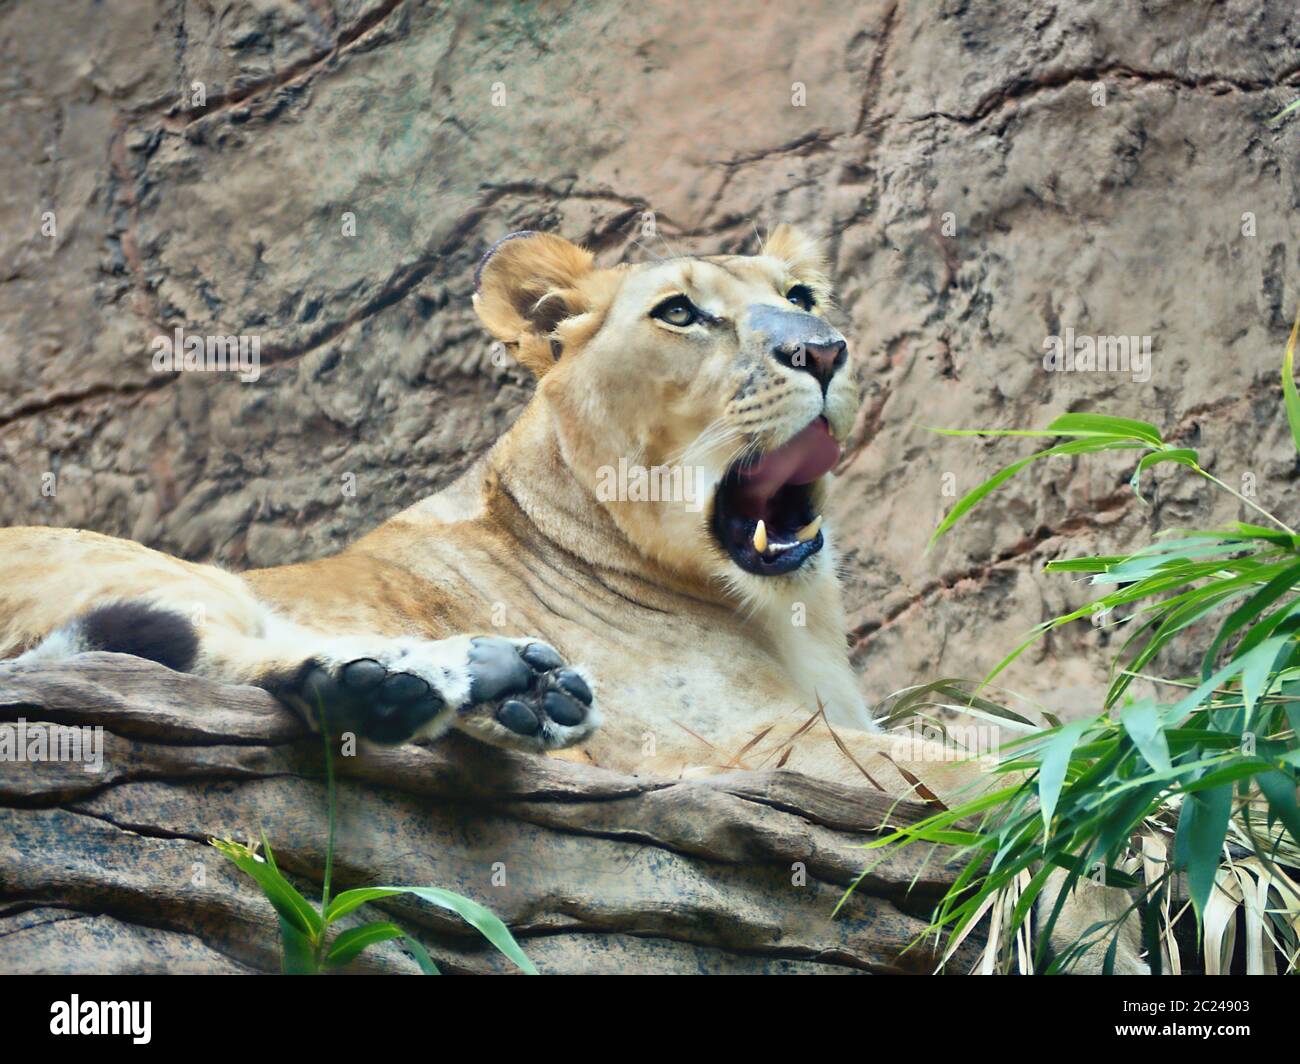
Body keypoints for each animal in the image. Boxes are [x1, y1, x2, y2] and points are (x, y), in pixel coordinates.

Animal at [0, 226, 1144, 972]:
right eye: (681, 312)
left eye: (804, 295)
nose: (822, 351)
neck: (789, 610)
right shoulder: (742, 751)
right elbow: (997, 769)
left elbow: (998, 738)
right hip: (159, 573)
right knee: (198, 661)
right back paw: (443, 685)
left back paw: (513, 690)